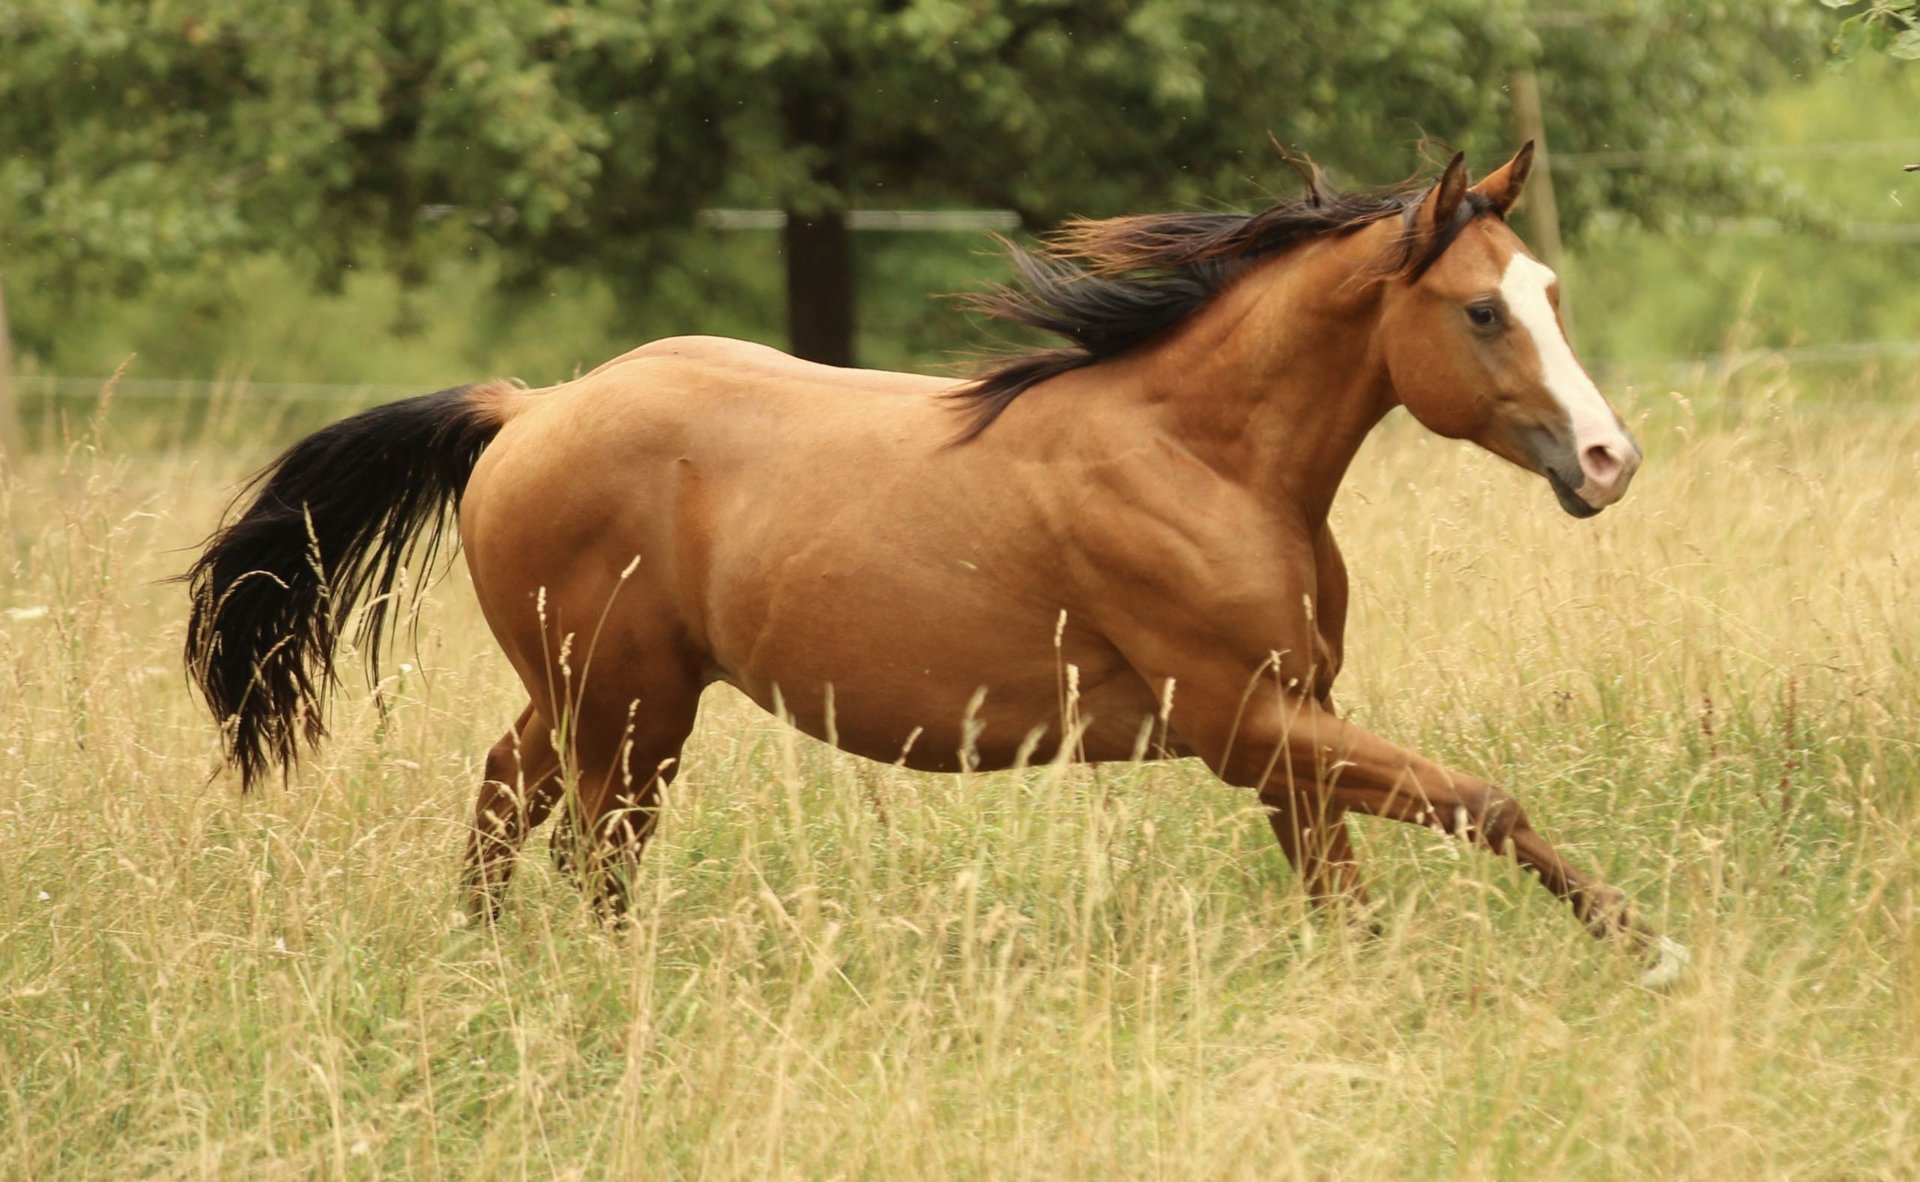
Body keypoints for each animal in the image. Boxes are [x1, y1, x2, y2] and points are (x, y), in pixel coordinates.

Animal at [185, 144, 1689, 986]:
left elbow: (1343, 884)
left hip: (586, 696)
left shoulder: (1289, 723)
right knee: (592, 848)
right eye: (1483, 310)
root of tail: (525, 410)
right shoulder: (1239, 720)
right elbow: (1481, 800)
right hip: (630, 705)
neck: (1202, 456)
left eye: (1549, 291)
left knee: (511, 799)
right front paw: (1651, 948)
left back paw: (487, 964)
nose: (1610, 459)